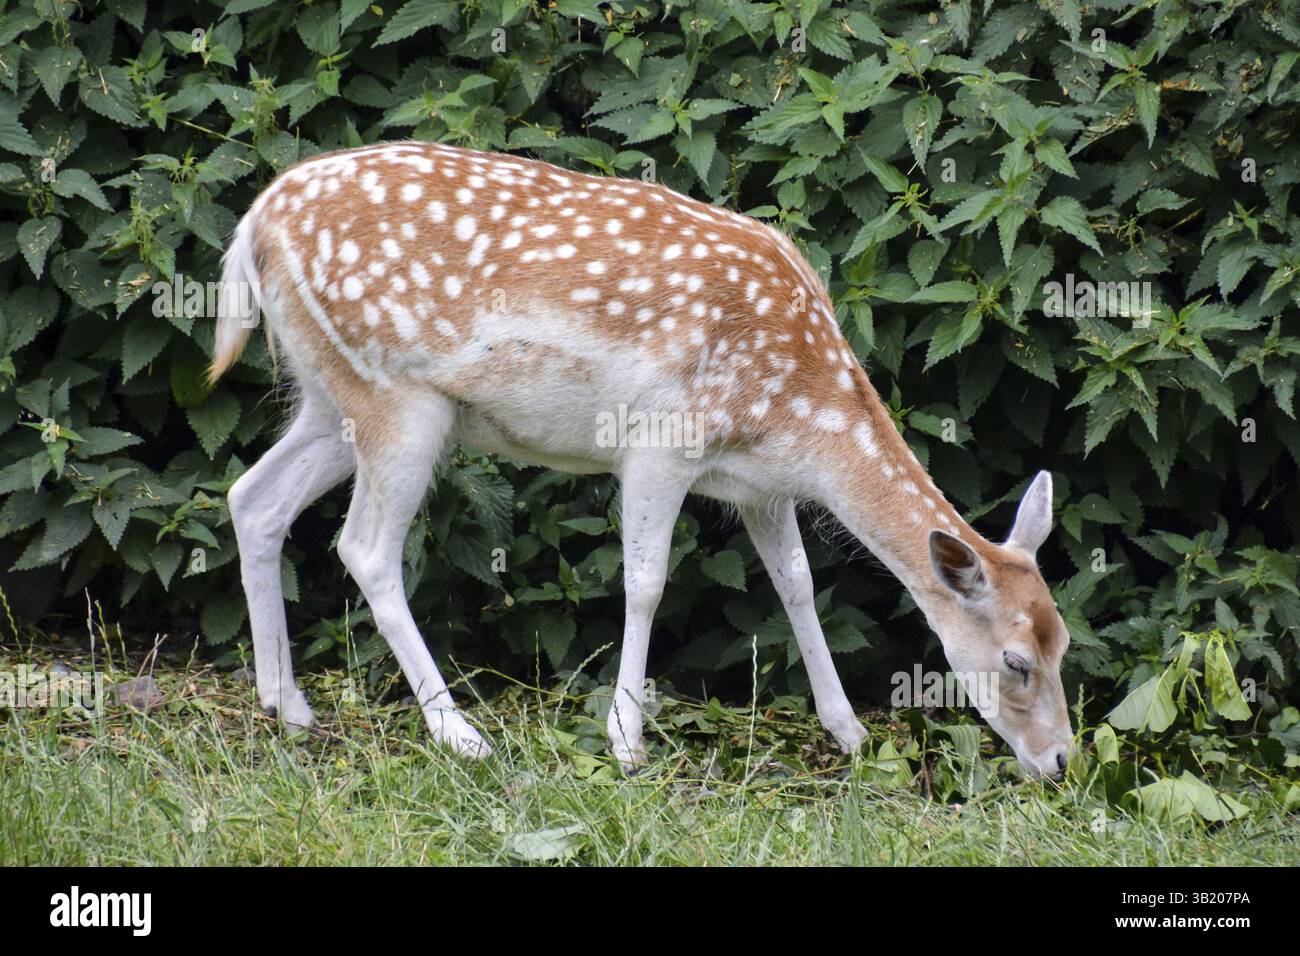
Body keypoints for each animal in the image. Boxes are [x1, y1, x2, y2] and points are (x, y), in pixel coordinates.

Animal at [208, 140, 1075, 779]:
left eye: (1063, 641)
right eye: (1016, 661)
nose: (1061, 761)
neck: (799, 414)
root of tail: (252, 228)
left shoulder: (759, 488)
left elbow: (797, 586)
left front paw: (850, 734)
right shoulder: (661, 441)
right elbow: (646, 583)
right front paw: (626, 742)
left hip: (329, 396)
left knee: (254, 496)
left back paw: (286, 706)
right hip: (397, 397)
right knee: (364, 548)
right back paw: (460, 735)